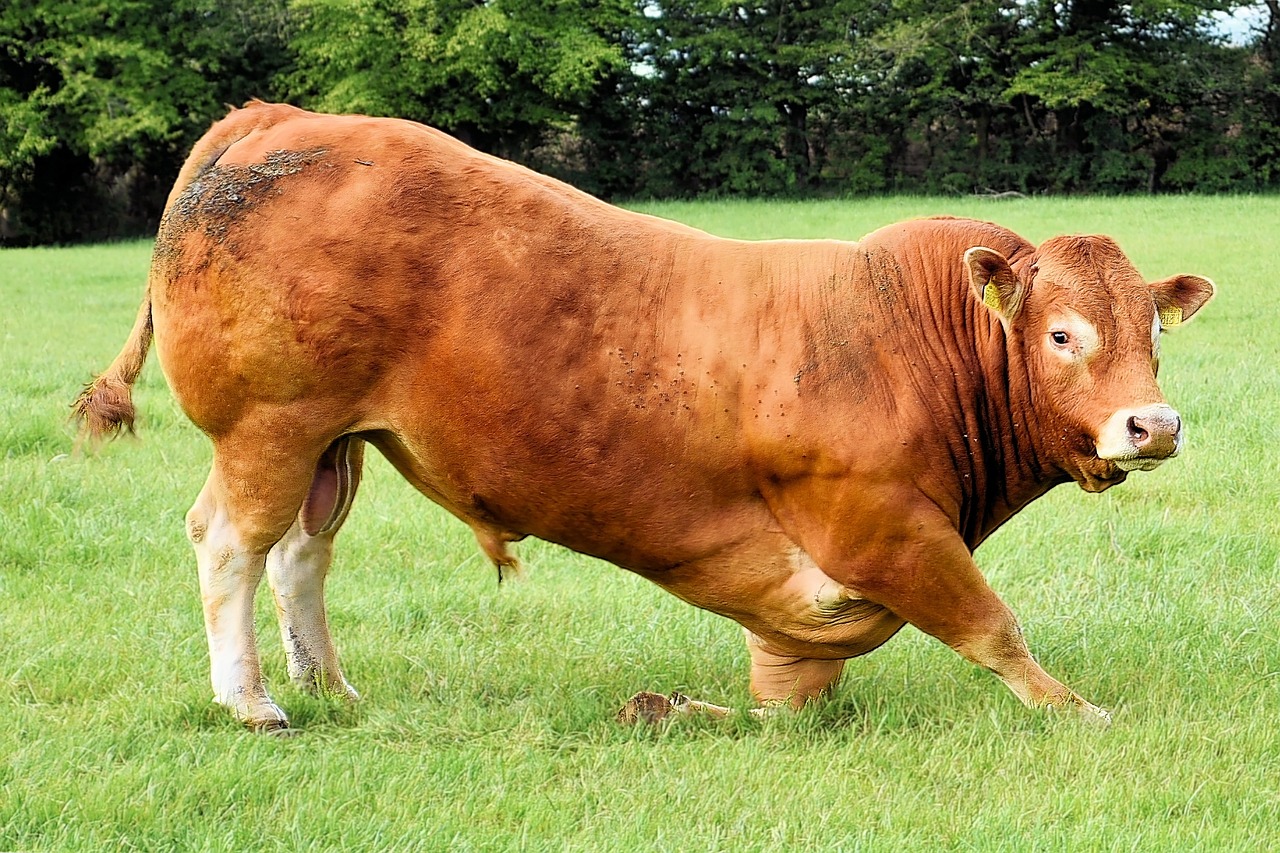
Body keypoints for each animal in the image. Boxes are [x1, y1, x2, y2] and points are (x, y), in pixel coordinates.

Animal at [74, 102, 1215, 732]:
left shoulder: (812, 609)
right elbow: (992, 626)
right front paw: (1082, 712)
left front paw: (671, 710)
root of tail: (276, 118)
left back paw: (329, 687)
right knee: (232, 542)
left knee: (300, 555)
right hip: (270, 423)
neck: (902, 337)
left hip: (334, 442)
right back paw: (256, 701)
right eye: (1061, 333)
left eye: (1152, 334)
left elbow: (788, 696)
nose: (1150, 427)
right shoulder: (884, 528)